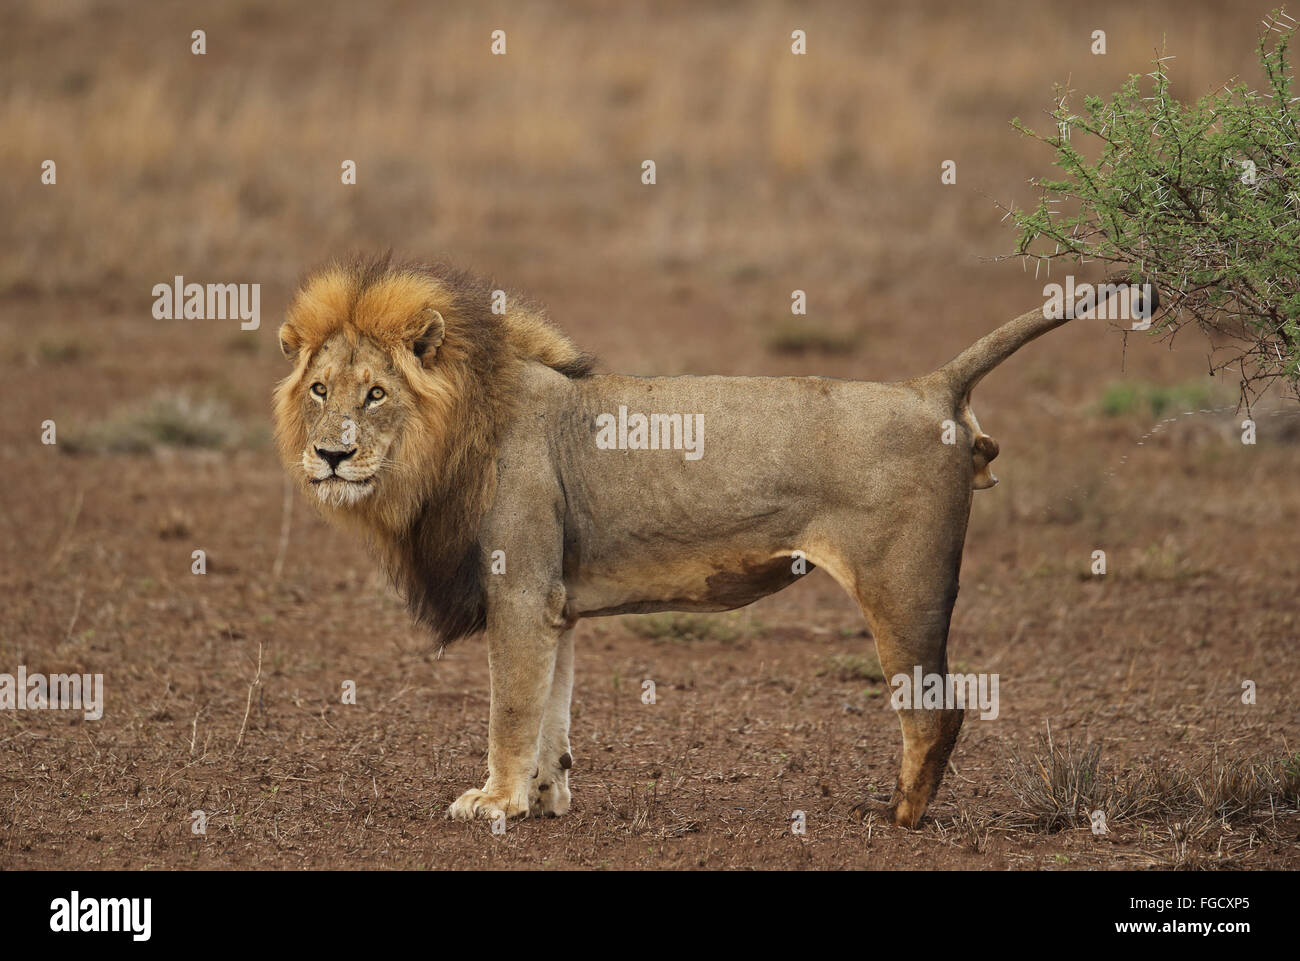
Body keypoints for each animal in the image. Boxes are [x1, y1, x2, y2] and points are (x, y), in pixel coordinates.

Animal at [274, 255, 1154, 827]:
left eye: (375, 394)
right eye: (319, 389)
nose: (331, 454)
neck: (454, 434)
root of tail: (929, 387)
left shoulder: (518, 586)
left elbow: (512, 708)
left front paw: (495, 801)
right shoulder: (553, 601)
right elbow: (554, 709)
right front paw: (546, 799)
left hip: (903, 585)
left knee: (937, 708)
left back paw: (901, 813)